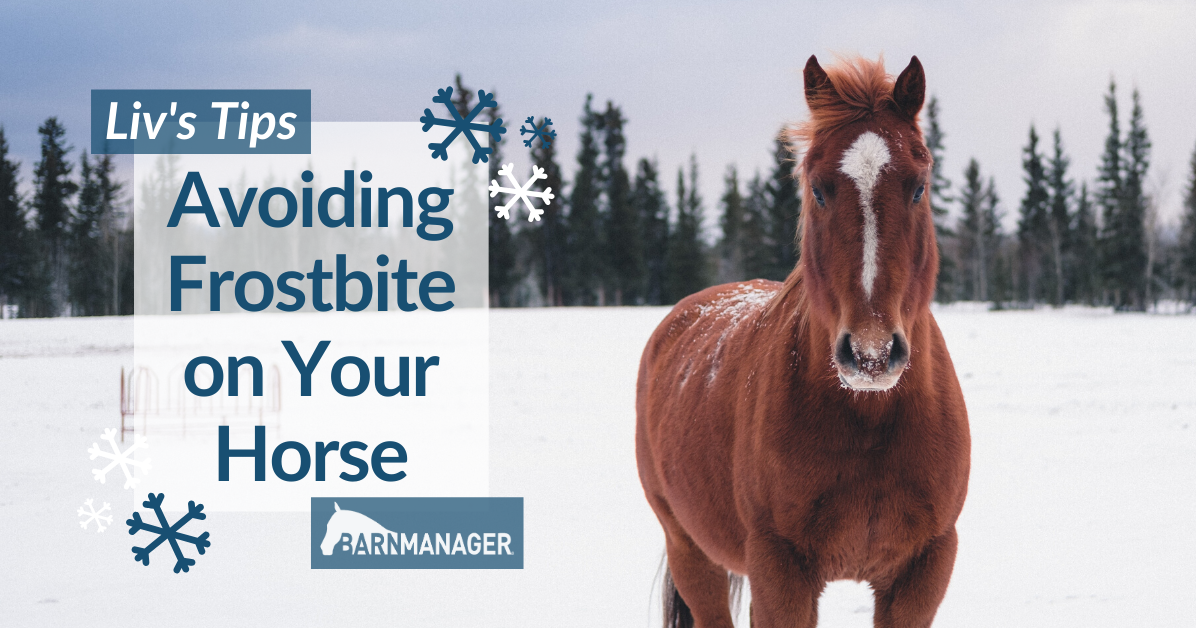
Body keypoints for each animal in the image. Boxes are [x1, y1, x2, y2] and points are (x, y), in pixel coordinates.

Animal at [635, 55, 970, 628]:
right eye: (817, 188)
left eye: (918, 186)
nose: (871, 354)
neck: (869, 419)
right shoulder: (780, 571)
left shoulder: (923, 570)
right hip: (690, 550)